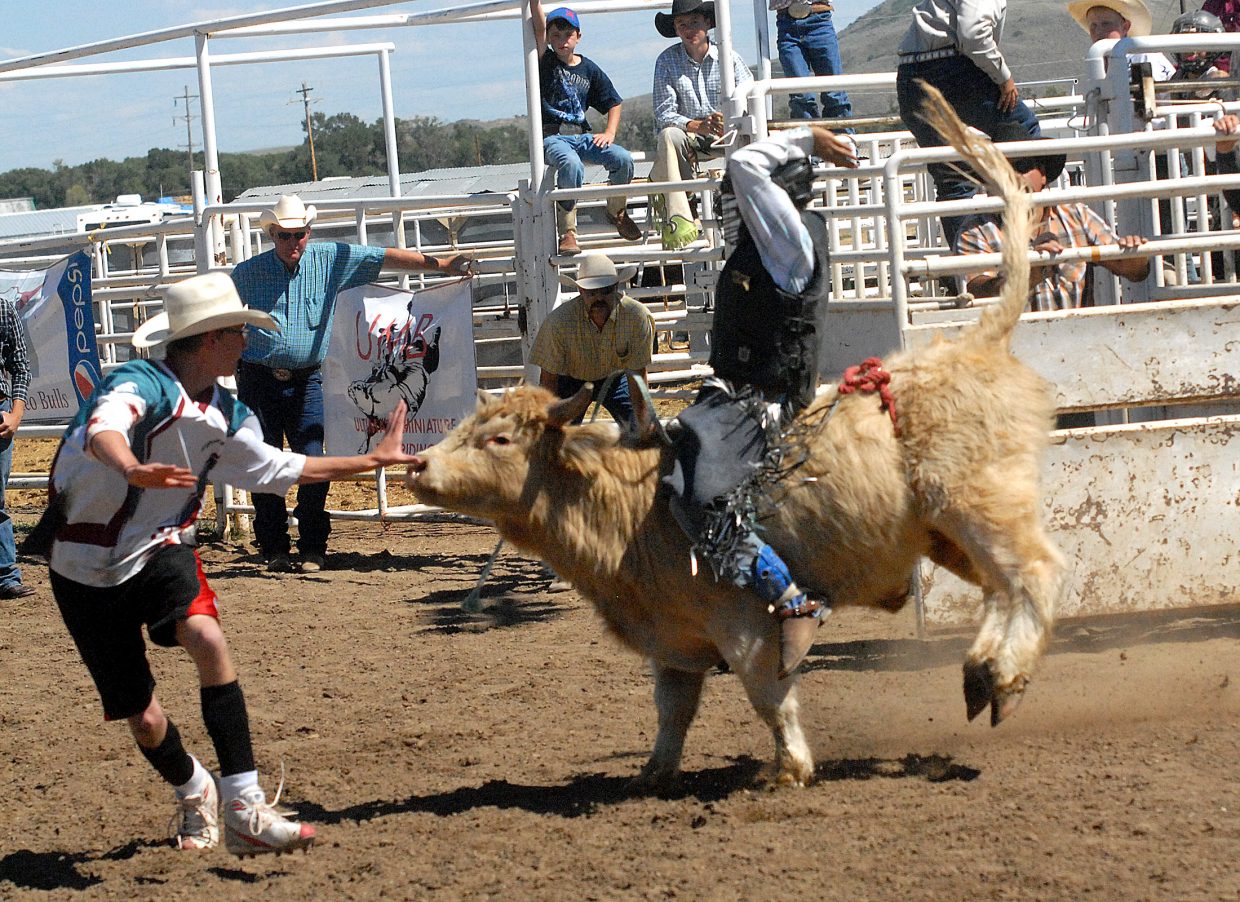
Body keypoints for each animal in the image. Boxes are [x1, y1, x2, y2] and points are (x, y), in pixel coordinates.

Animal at [405, 90, 1064, 792]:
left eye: (501, 439)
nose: (418, 466)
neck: (627, 506)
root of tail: (975, 343)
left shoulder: (744, 627)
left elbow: (771, 699)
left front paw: (791, 768)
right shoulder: (674, 642)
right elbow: (672, 709)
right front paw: (652, 774)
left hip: (978, 502)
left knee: (1036, 574)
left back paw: (1000, 674)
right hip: (944, 532)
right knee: (1003, 587)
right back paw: (984, 671)